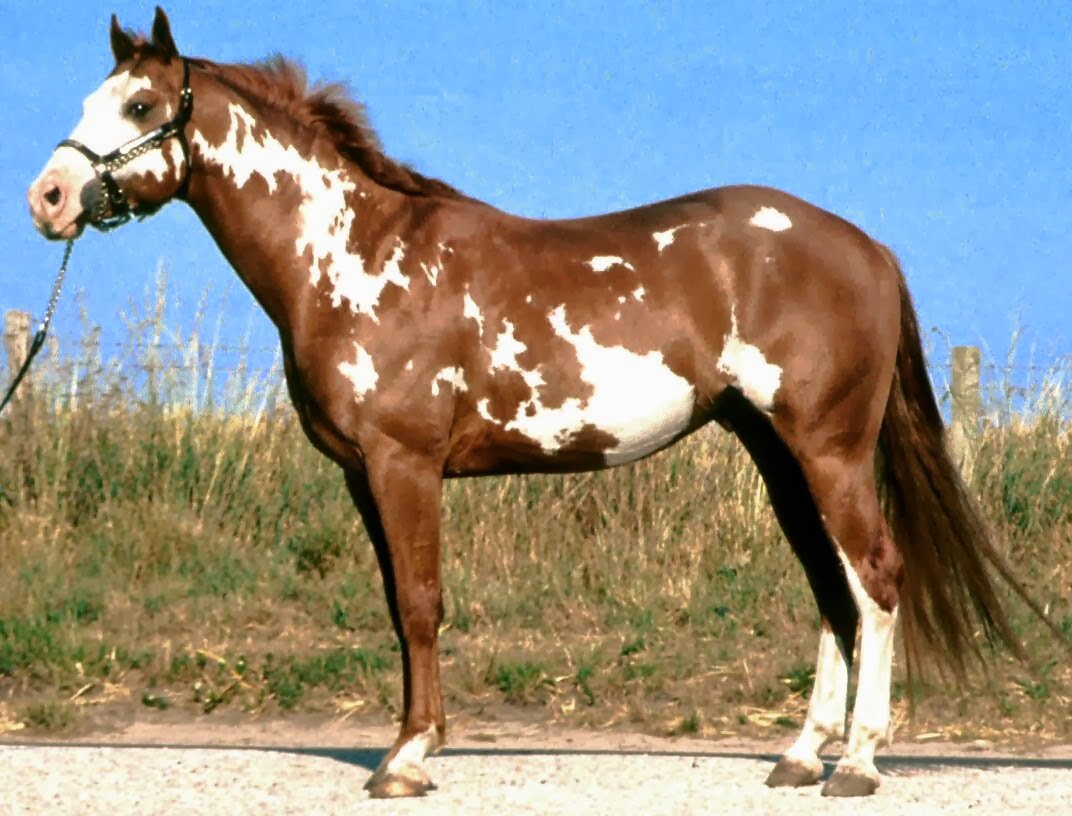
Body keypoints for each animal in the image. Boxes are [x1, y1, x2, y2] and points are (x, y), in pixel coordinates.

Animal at [27, 7, 1044, 799]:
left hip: (827, 451)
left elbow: (421, 603)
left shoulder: (404, 466)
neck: (354, 257)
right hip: (777, 457)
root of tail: (865, 248)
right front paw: (412, 745)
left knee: (875, 577)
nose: (49, 198)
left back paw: (860, 763)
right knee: (832, 588)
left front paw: (408, 758)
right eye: (88, 103)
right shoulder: (364, 477)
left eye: (140, 106)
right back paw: (799, 756)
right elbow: (397, 604)